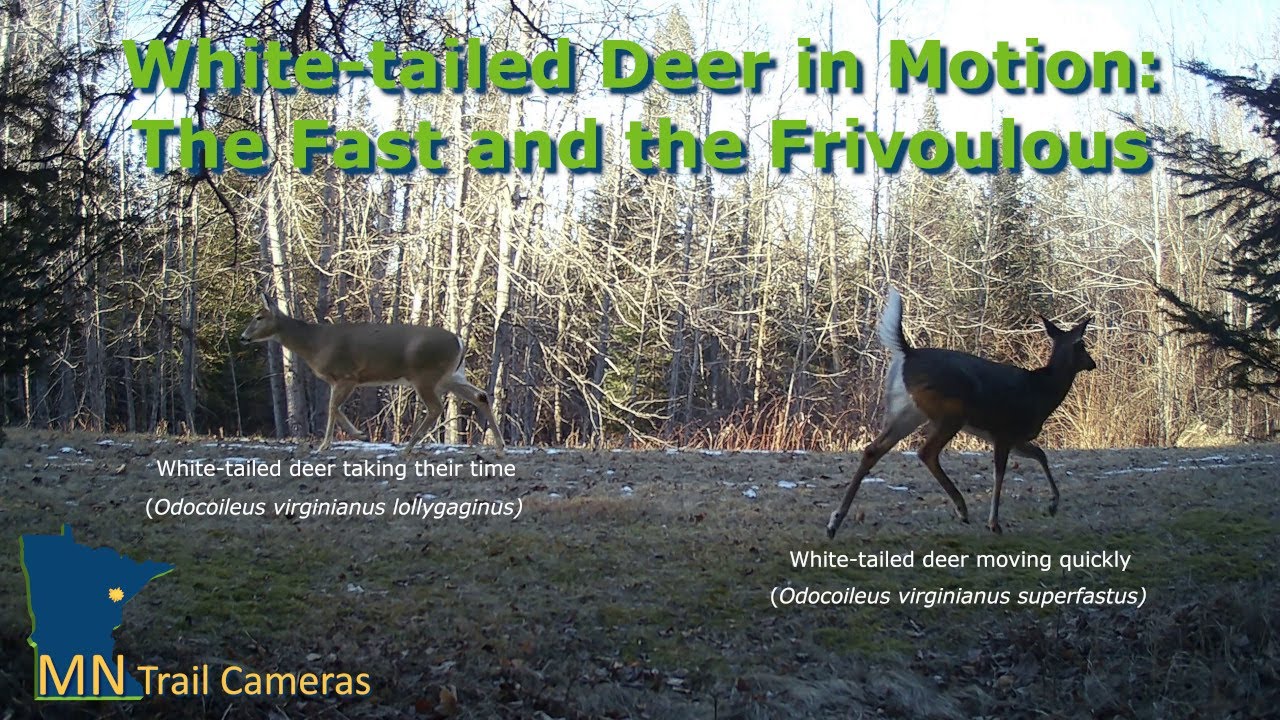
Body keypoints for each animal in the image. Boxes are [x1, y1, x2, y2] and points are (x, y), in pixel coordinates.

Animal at [240, 294, 505, 457]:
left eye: (259, 317)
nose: (244, 337)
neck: (314, 344)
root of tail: (459, 341)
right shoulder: (344, 380)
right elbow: (335, 408)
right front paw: (360, 434)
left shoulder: (346, 375)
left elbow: (332, 407)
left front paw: (324, 445)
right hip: (451, 376)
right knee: (480, 396)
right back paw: (500, 446)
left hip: (426, 375)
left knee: (435, 407)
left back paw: (408, 447)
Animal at [826, 287, 1095, 539]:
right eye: (1082, 346)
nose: (1092, 363)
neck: (1042, 391)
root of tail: (907, 353)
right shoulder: (1004, 432)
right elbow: (1000, 472)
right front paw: (994, 523)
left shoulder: (1014, 437)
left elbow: (1041, 454)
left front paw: (1053, 505)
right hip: (950, 413)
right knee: (926, 452)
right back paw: (962, 508)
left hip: (907, 411)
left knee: (873, 450)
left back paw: (834, 523)